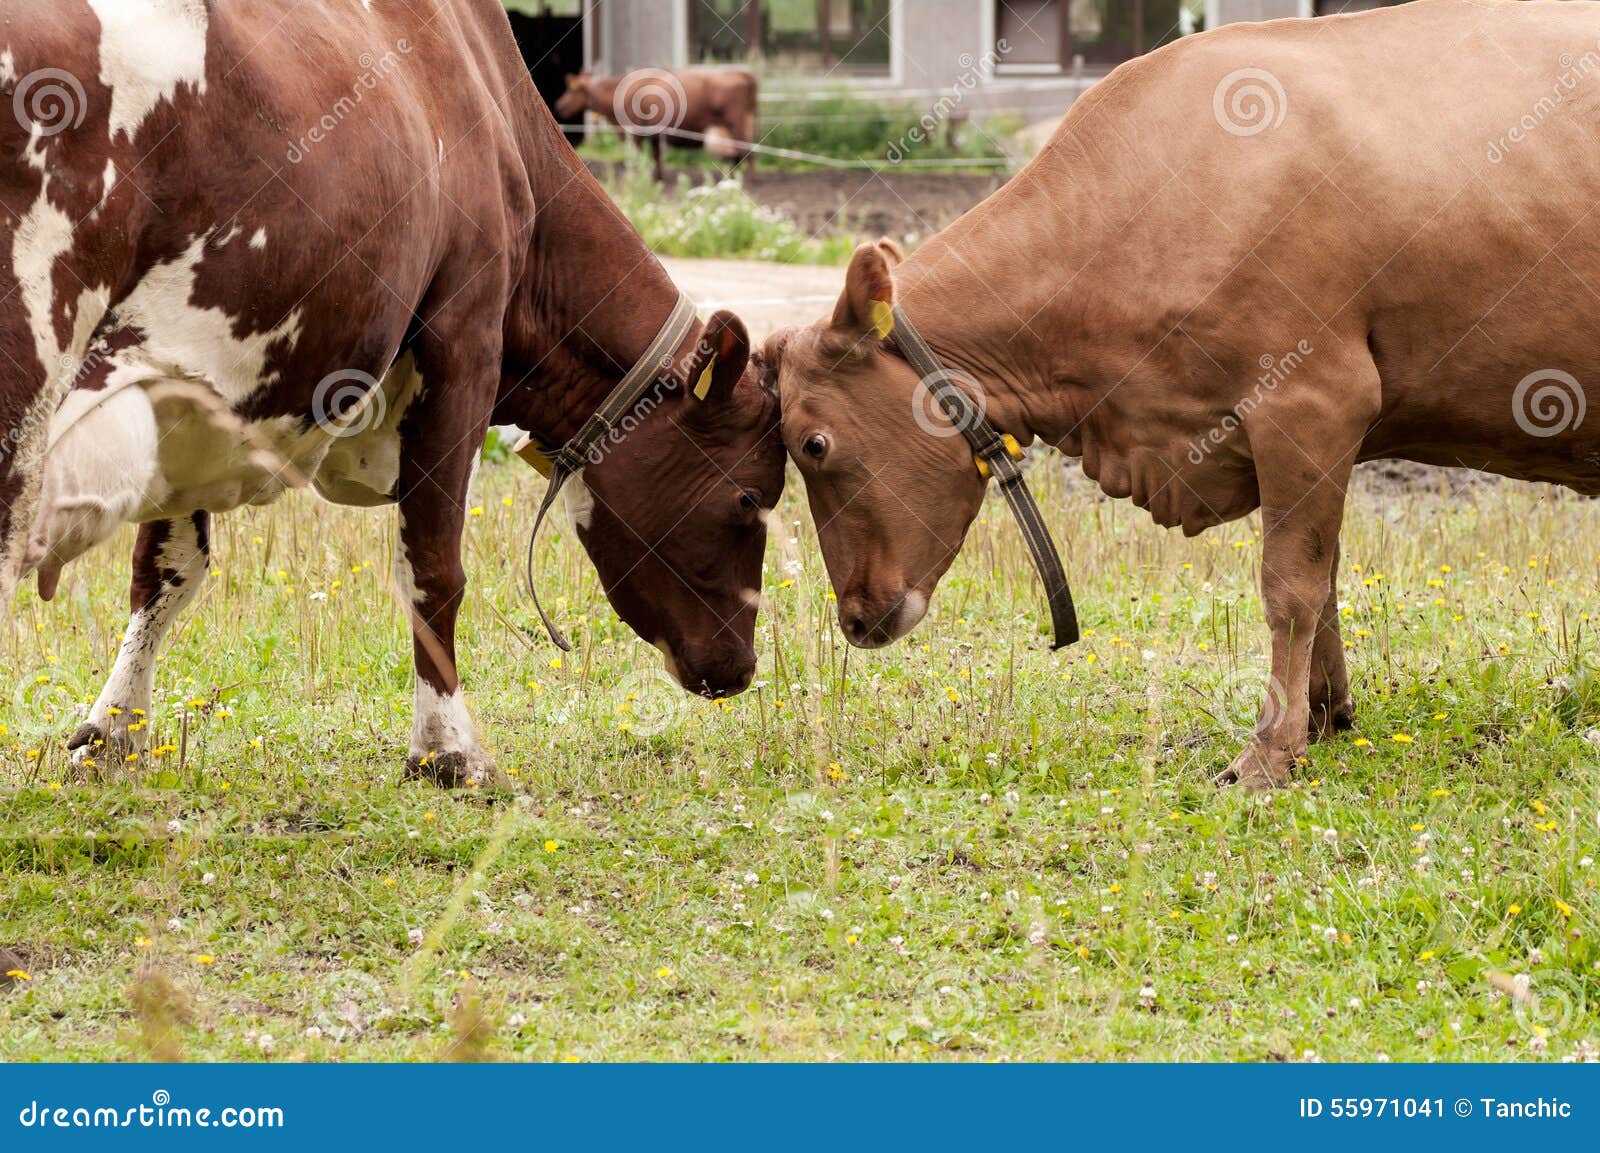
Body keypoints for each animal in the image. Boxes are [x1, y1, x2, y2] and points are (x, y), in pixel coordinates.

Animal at [554, 68, 758, 182]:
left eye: (572, 91)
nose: (559, 105)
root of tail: (740, 72)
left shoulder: (635, 133)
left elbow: (638, 156)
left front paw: (638, 176)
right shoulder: (653, 133)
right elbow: (656, 156)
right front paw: (656, 178)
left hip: (737, 121)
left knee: (746, 147)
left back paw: (748, 178)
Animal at [762, 0, 1600, 790]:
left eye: (813, 443)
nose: (855, 616)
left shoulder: (1312, 400)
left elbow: (1291, 585)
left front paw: (1267, 754)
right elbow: (1325, 577)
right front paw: (1324, 716)